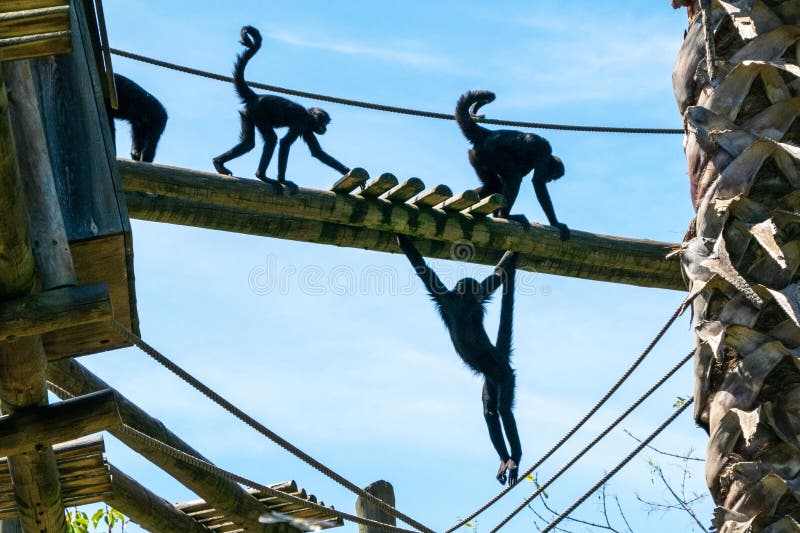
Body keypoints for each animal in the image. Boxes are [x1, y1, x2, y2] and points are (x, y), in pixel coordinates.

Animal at [213, 26, 350, 192]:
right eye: (323, 124)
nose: (325, 129)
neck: (308, 116)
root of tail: (256, 96)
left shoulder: (307, 128)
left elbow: (317, 152)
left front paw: (347, 171)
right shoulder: (301, 122)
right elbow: (285, 143)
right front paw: (284, 180)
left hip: (248, 114)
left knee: (248, 143)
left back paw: (218, 163)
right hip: (260, 115)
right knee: (272, 140)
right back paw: (262, 176)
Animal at [397, 234, 522, 486]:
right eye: (475, 289)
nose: (478, 293)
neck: (463, 304)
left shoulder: (447, 297)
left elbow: (422, 268)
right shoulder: (449, 299)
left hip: (504, 374)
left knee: (502, 410)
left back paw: (514, 459)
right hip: (492, 380)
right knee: (492, 412)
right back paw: (507, 459)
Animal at [455, 90, 570, 241]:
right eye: (553, 175)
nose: (550, 179)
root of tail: (488, 133)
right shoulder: (543, 151)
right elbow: (538, 182)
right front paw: (556, 223)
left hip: (477, 158)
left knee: (494, 184)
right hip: (492, 152)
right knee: (515, 178)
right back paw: (506, 216)